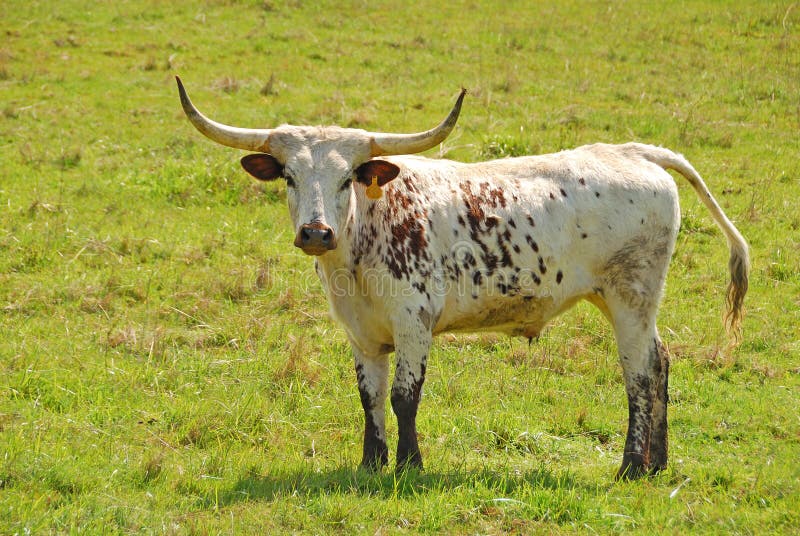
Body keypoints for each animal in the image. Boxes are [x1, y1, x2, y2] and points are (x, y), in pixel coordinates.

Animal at [175, 76, 749, 480]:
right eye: (289, 177)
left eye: (347, 179)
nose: (316, 233)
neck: (362, 249)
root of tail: (635, 152)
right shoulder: (361, 333)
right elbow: (369, 397)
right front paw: (370, 465)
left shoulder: (413, 323)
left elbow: (404, 396)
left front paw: (409, 466)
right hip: (628, 300)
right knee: (662, 359)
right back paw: (658, 464)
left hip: (631, 295)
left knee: (641, 373)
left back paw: (630, 466)